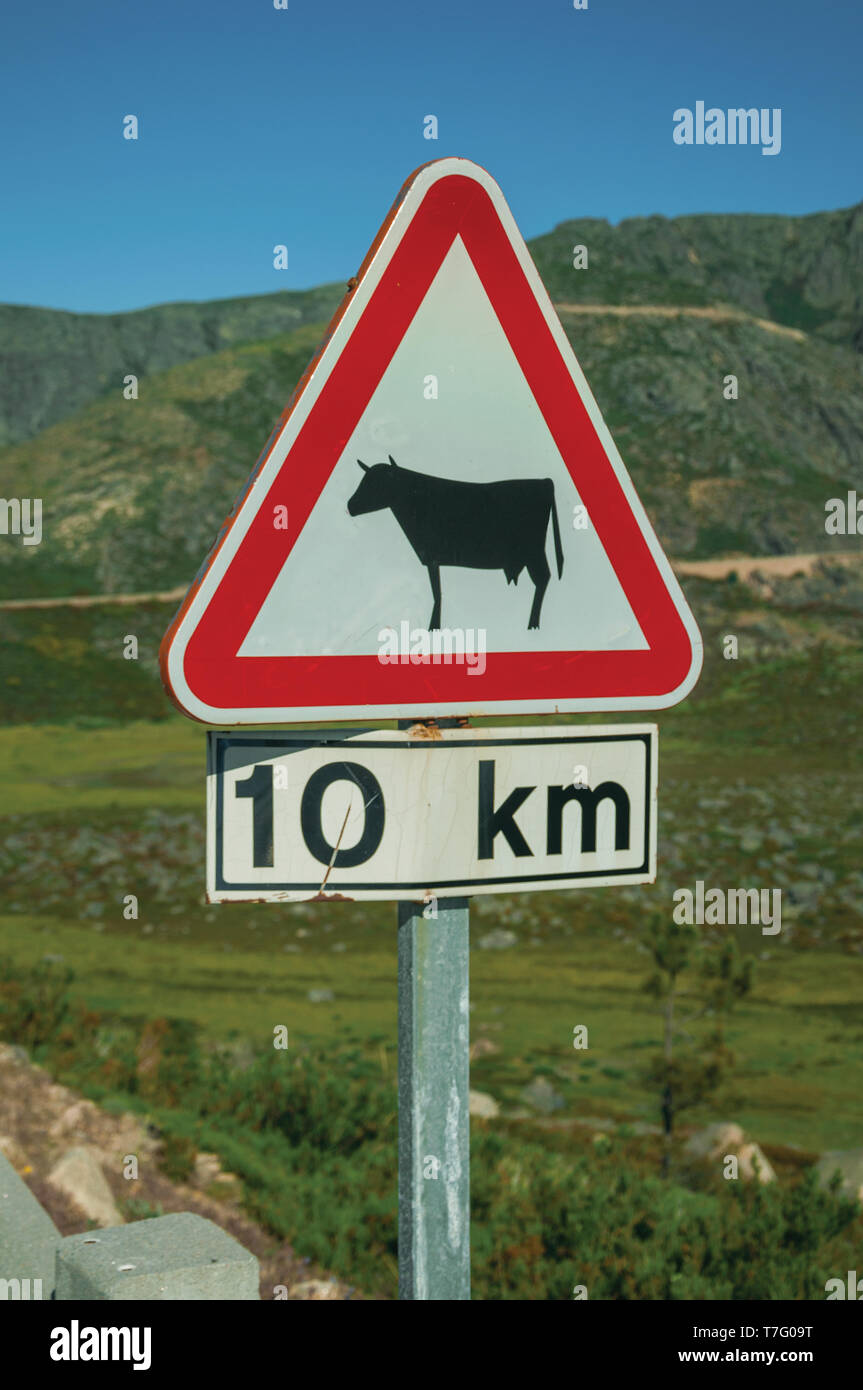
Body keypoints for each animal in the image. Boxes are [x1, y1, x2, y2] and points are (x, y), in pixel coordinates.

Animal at [347, 455, 564, 630]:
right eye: (364, 480)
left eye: (376, 483)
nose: (350, 505)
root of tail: (544, 482)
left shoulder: (432, 558)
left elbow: (436, 593)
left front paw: (434, 626)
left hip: (534, 551)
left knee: (542, 578)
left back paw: (533, 625)